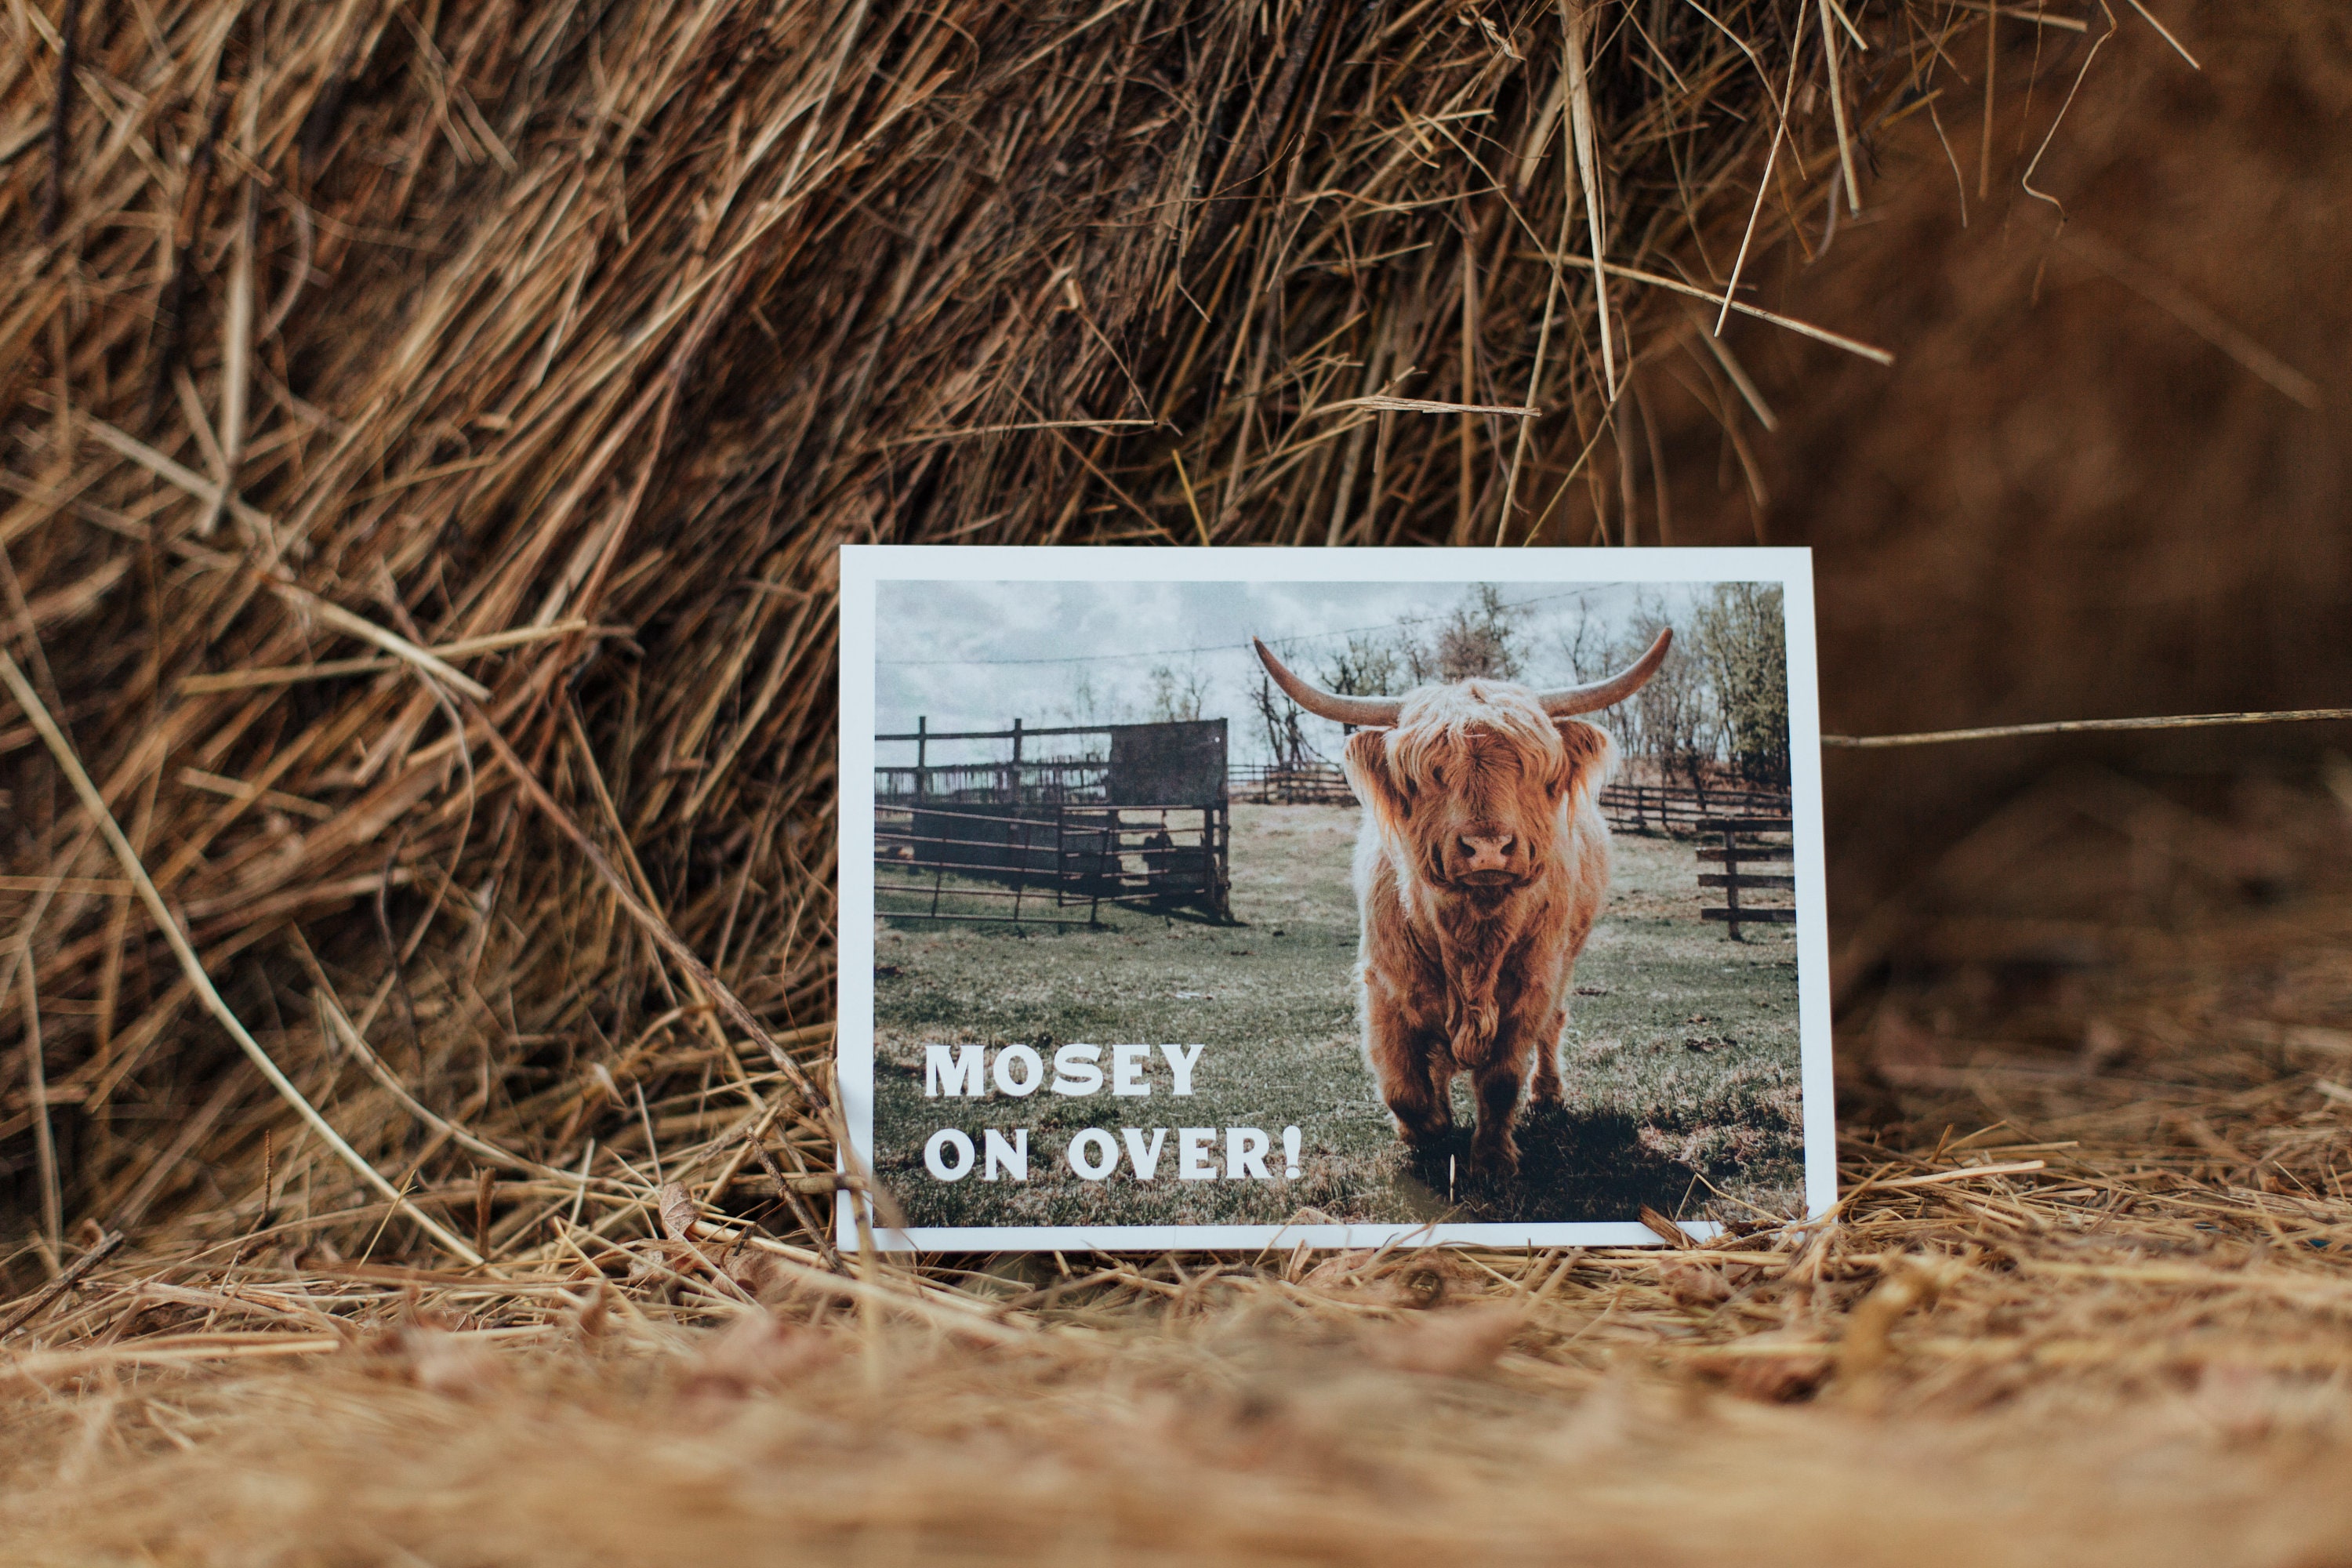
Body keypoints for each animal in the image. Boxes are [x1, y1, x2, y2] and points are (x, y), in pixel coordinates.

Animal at [1251, 631, 1671, 1178]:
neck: (1472, 942)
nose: (1488, 847)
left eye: (1531, 769)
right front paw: (1428, 1127)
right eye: (1427, 774)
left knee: (1554, 1024)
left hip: (1567, 958)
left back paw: (1548, 1094)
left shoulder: (1530, 985)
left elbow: (1500, 1080)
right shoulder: (1385, 985)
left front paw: (1493, 1162)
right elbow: (1405, 1088)